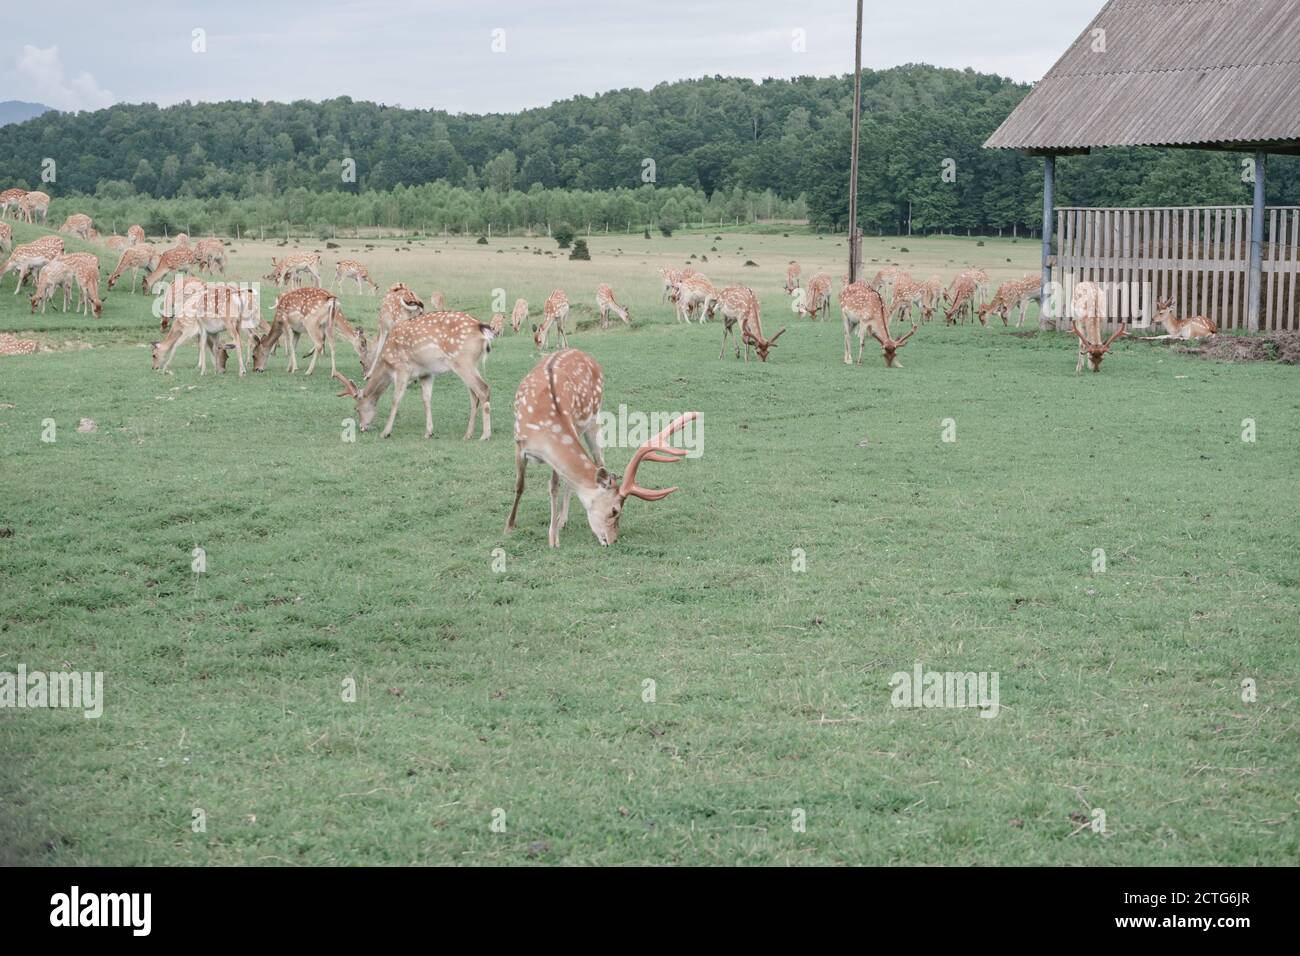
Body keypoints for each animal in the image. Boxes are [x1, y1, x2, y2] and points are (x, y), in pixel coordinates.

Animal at [332, 310, 494, 440]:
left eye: (357, 408)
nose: (362, 427)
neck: (386, 363)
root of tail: (481, 328)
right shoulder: (426, 373)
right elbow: (426, 399)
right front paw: (429, 432)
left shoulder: (402, 368)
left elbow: (396, 399)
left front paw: (385, 432)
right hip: (471, 363)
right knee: (474, 394)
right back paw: (468, 434)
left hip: (461, 360)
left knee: (483, 389)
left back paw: (485, 435)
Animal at [504, 347, 699, 547]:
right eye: (615, 510)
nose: (612, 540)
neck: (545, 427)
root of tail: (579, 351)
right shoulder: (519, 444)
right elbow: (520, 485)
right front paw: (510, 527)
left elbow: (554, 485)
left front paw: (553, 536)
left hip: (593, 421)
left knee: (597, 461)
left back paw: (562, 519)